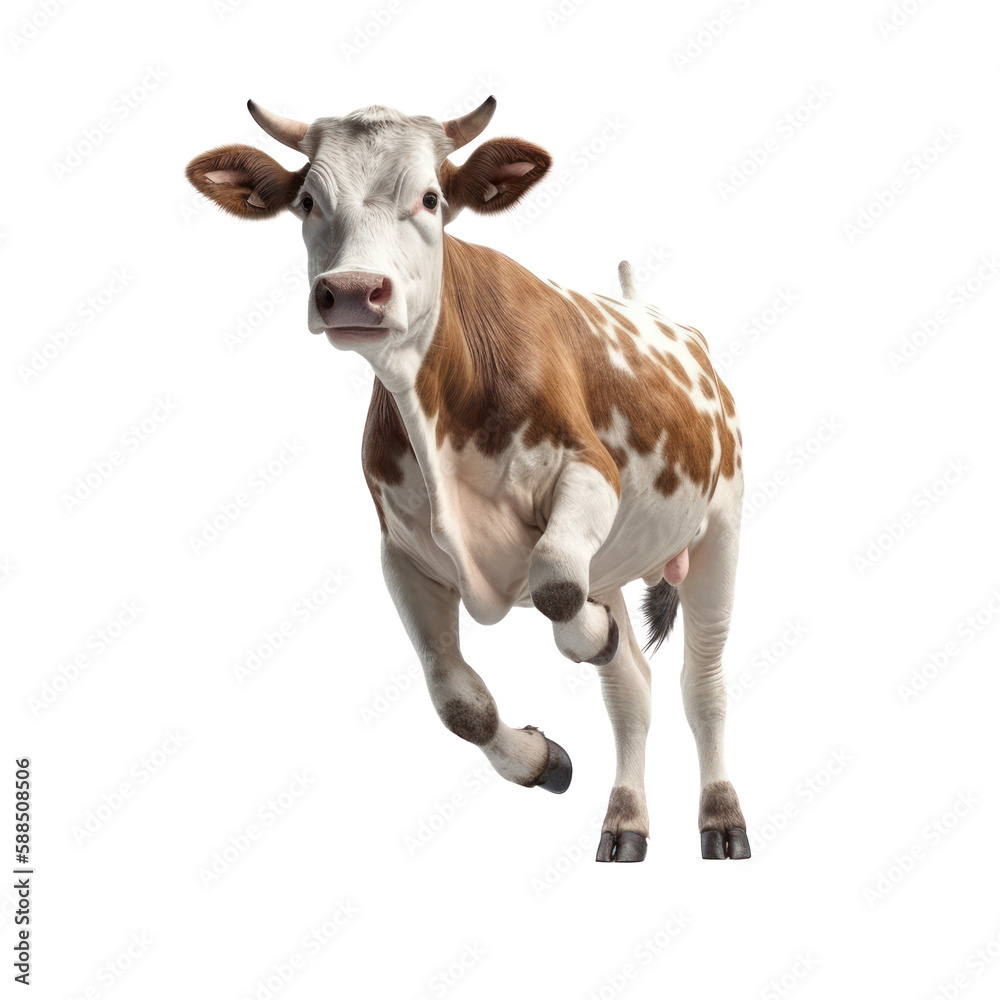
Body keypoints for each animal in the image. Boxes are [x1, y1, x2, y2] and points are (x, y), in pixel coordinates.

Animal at [186, 96, 749, 863]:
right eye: (306, 201)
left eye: (430, 198)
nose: (353, 292)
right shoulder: (404, 552)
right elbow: (459, 703)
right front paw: (541, 758)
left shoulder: (589, 472)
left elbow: (555, 583)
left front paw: (585, 634)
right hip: (620, 555)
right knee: (631, 689)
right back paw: (625, 823)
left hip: (721, 525)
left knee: (704, 684)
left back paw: (722, 818)